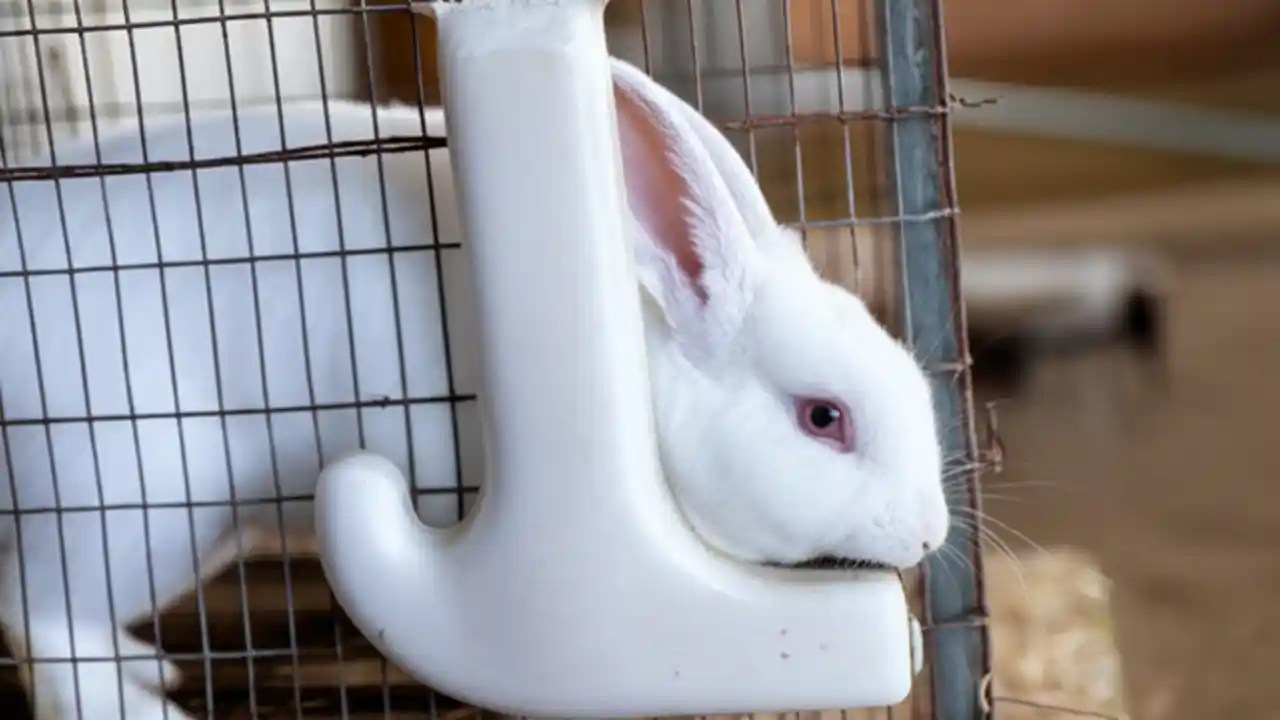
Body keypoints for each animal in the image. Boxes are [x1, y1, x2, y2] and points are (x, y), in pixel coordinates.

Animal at [0, 58, 949, 720]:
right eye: (823, 417)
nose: (931, 534)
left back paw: (145, 666)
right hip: (141, 497)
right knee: (37, 611)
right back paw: (141, 704)